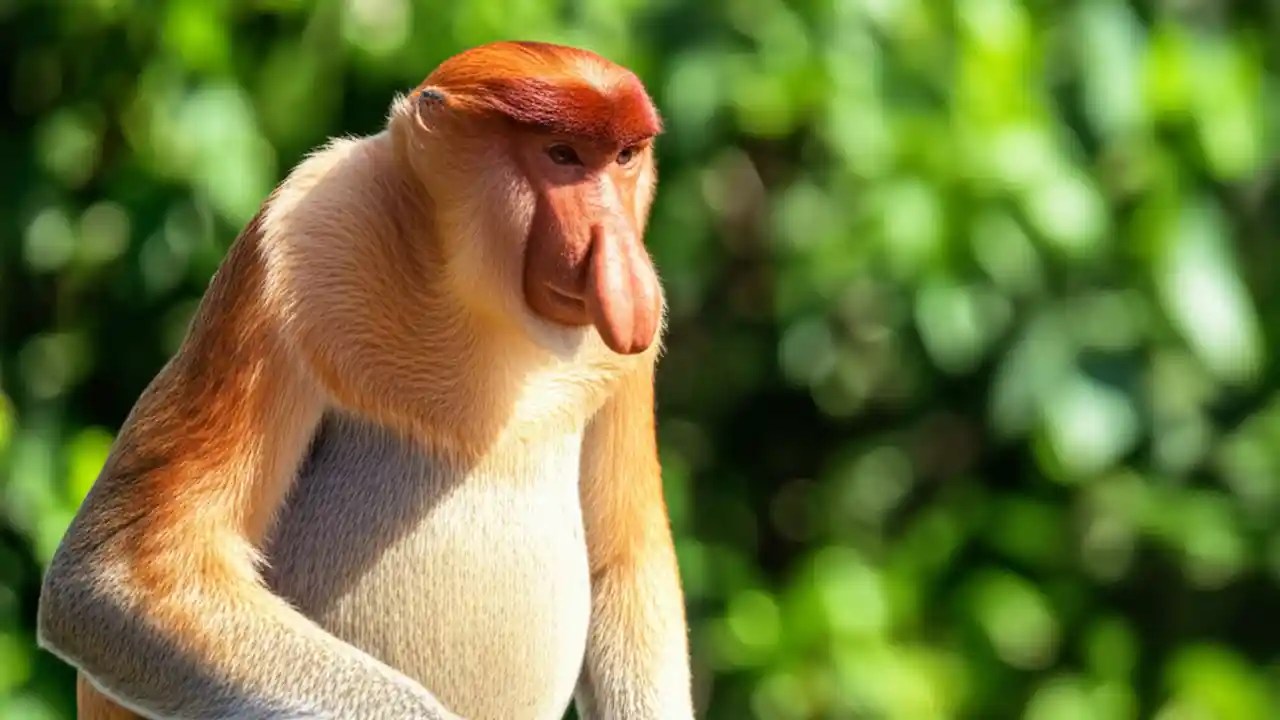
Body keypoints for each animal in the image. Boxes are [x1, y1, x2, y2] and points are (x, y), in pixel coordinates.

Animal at [37, 41, 694, 720]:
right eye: (561, 156)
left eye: (623, 158)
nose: (620, 263)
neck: (478, 303)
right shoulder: (296, 242)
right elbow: (124, 575)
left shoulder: (627, 362)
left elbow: (624, 564)